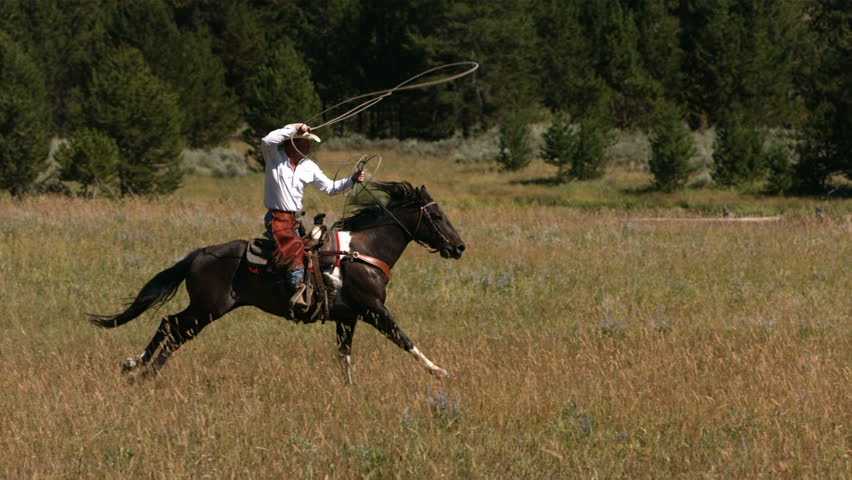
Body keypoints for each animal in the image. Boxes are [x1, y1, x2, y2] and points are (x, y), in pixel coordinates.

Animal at [89, 182, 466, 384]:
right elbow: (405, 339)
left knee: (171, 327)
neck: (364, 253)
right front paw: (442, 372)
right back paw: (141, 369)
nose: (459, 246)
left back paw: (139, 368)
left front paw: (349, 389)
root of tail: (200, 254)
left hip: (203, 309)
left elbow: (344, 356)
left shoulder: (348, 317)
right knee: (172, 327)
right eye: (436, 215)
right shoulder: (374, 310)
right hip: (207, 309)